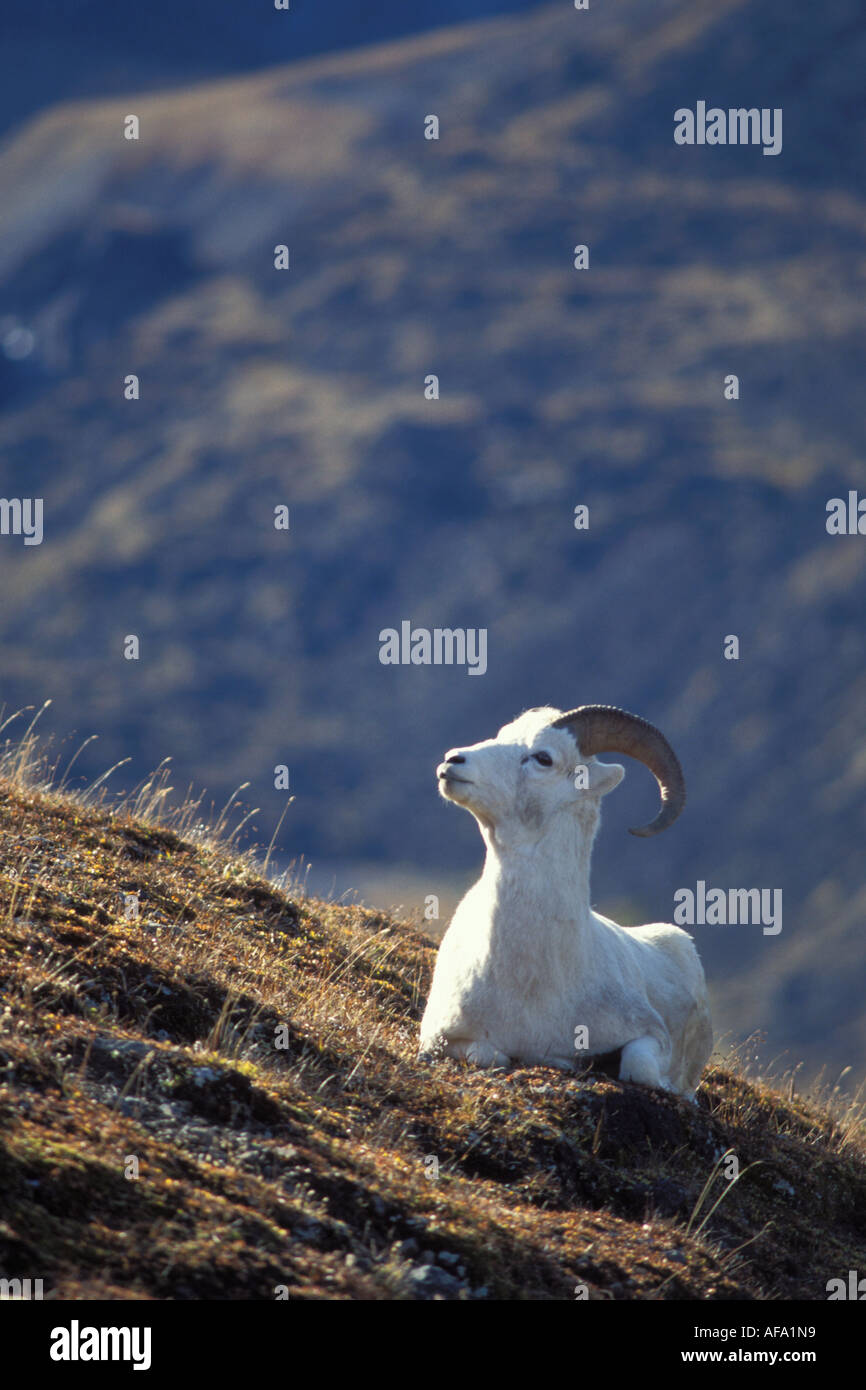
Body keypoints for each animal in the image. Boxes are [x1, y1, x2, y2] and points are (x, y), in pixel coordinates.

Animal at [418, 705, 712, 1100]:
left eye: (544, 758)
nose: (453, 760)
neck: (531, 983)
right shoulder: (439, 1039)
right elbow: (490, 1054)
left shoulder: (651, 1034)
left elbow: (639, 1069)